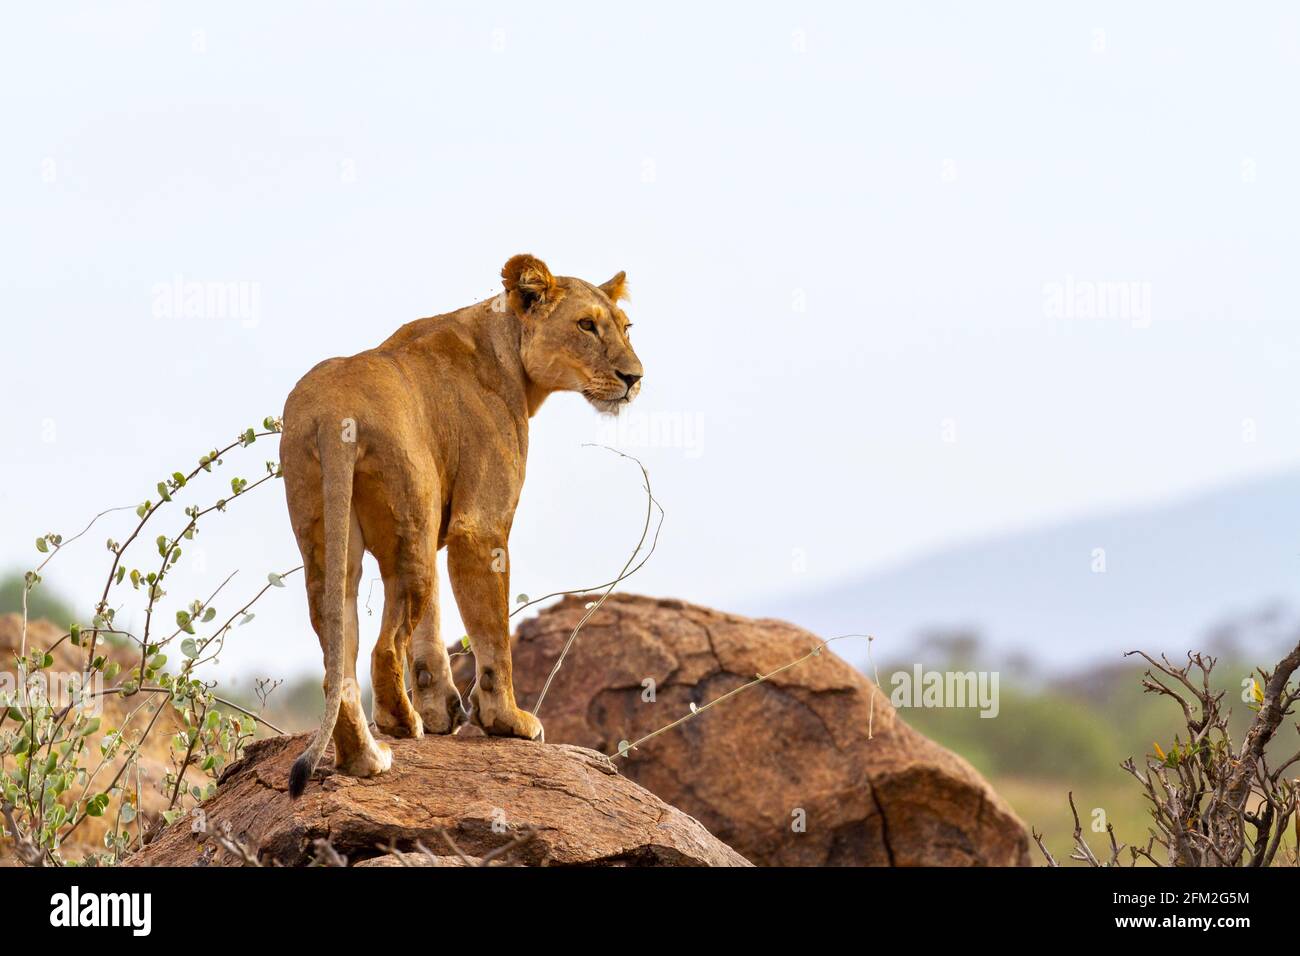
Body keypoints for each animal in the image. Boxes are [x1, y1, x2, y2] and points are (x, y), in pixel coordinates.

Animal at [281, 254, 643, 797]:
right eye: (585, 325)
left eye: (625, 327)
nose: (635, 377)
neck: (508, 350)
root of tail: (333, 413)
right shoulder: (480, 526)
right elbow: (493, 633)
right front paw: (507, 721)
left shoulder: (437, 526)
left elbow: (431, 634)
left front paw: (441, 713)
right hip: (407, 522)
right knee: (385, 647)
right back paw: (397, 726)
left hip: (334, 535)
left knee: (337, 656)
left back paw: (366, 758)